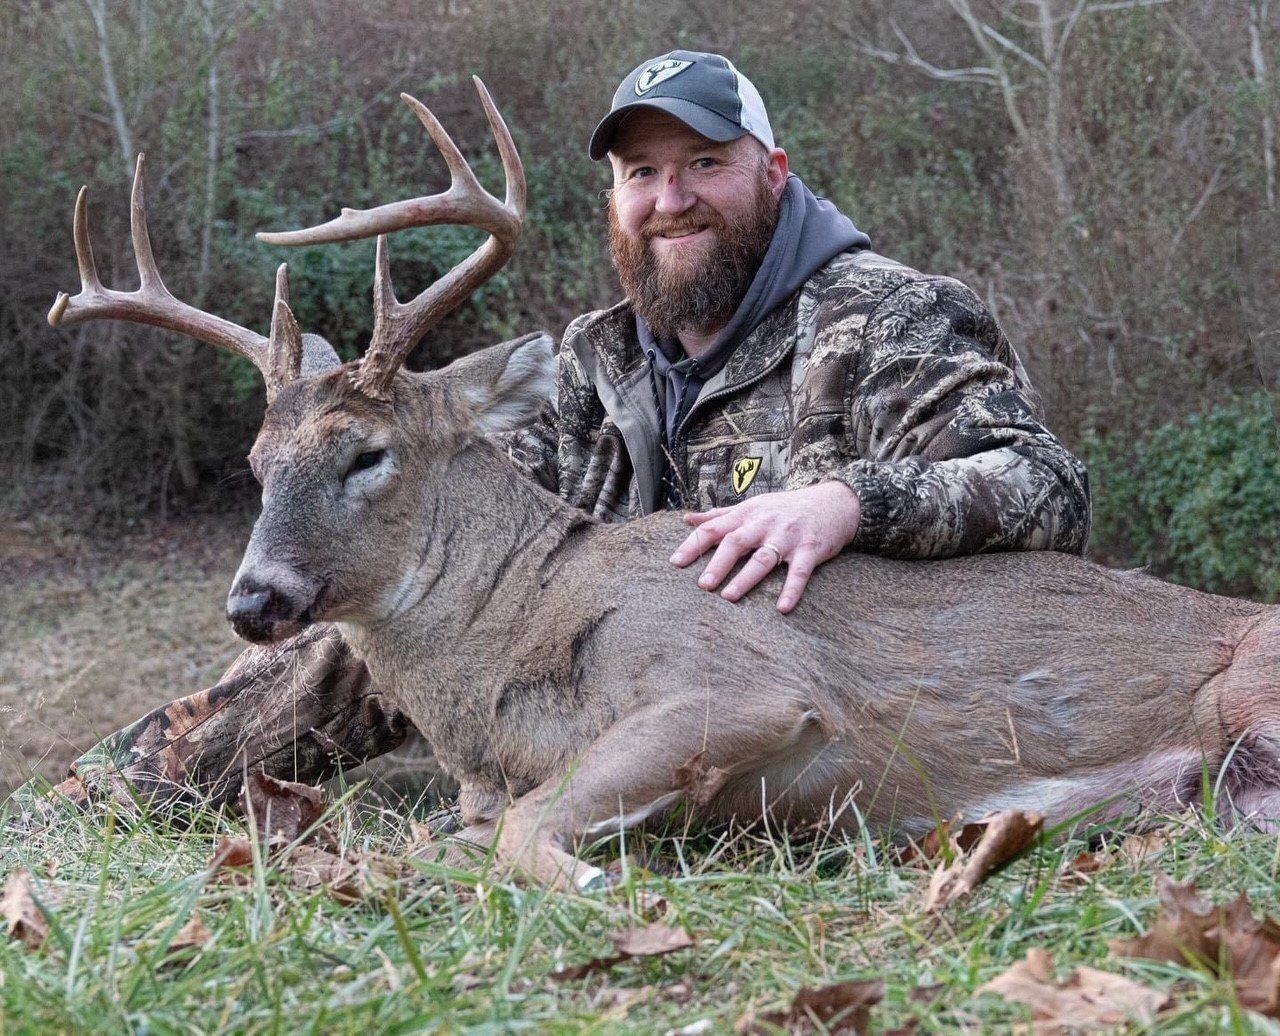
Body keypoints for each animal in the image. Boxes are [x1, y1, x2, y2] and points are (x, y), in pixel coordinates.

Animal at [48, 79, 1280, 891]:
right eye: (258, 464)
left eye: (366, 453)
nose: (254, 601)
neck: (515, 640)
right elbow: (464, 832)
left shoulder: (740, 683)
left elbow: (525, 832)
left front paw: (600, 883)